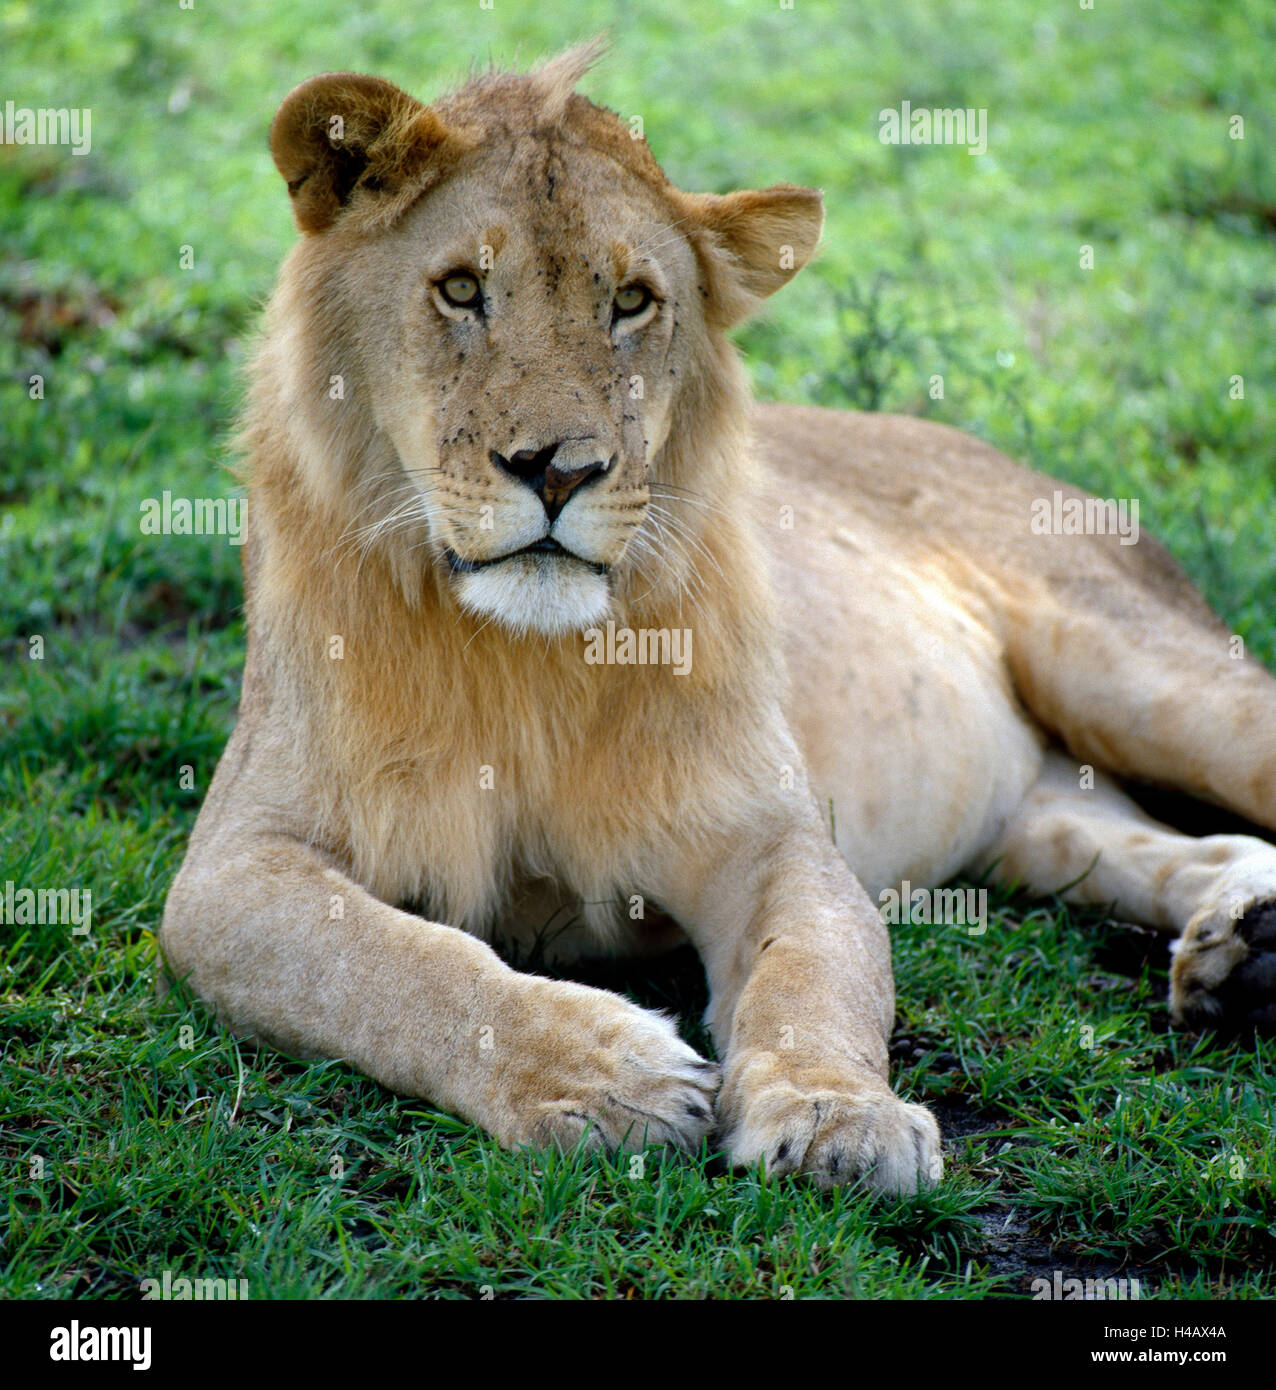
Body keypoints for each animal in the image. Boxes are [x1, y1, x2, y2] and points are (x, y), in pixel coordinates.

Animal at [160, 40, 1276, 1193]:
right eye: (461, 289)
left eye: (632, 302)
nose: (558, 470)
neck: (521, 659)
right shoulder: (232, 869)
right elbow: (400, 967)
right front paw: (603, 1077)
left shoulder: (769, 835)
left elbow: (814, 975)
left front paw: (838, 1115)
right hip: (1033, 812)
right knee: (1153, 838)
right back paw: (1245, 948)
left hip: (1142, 674)